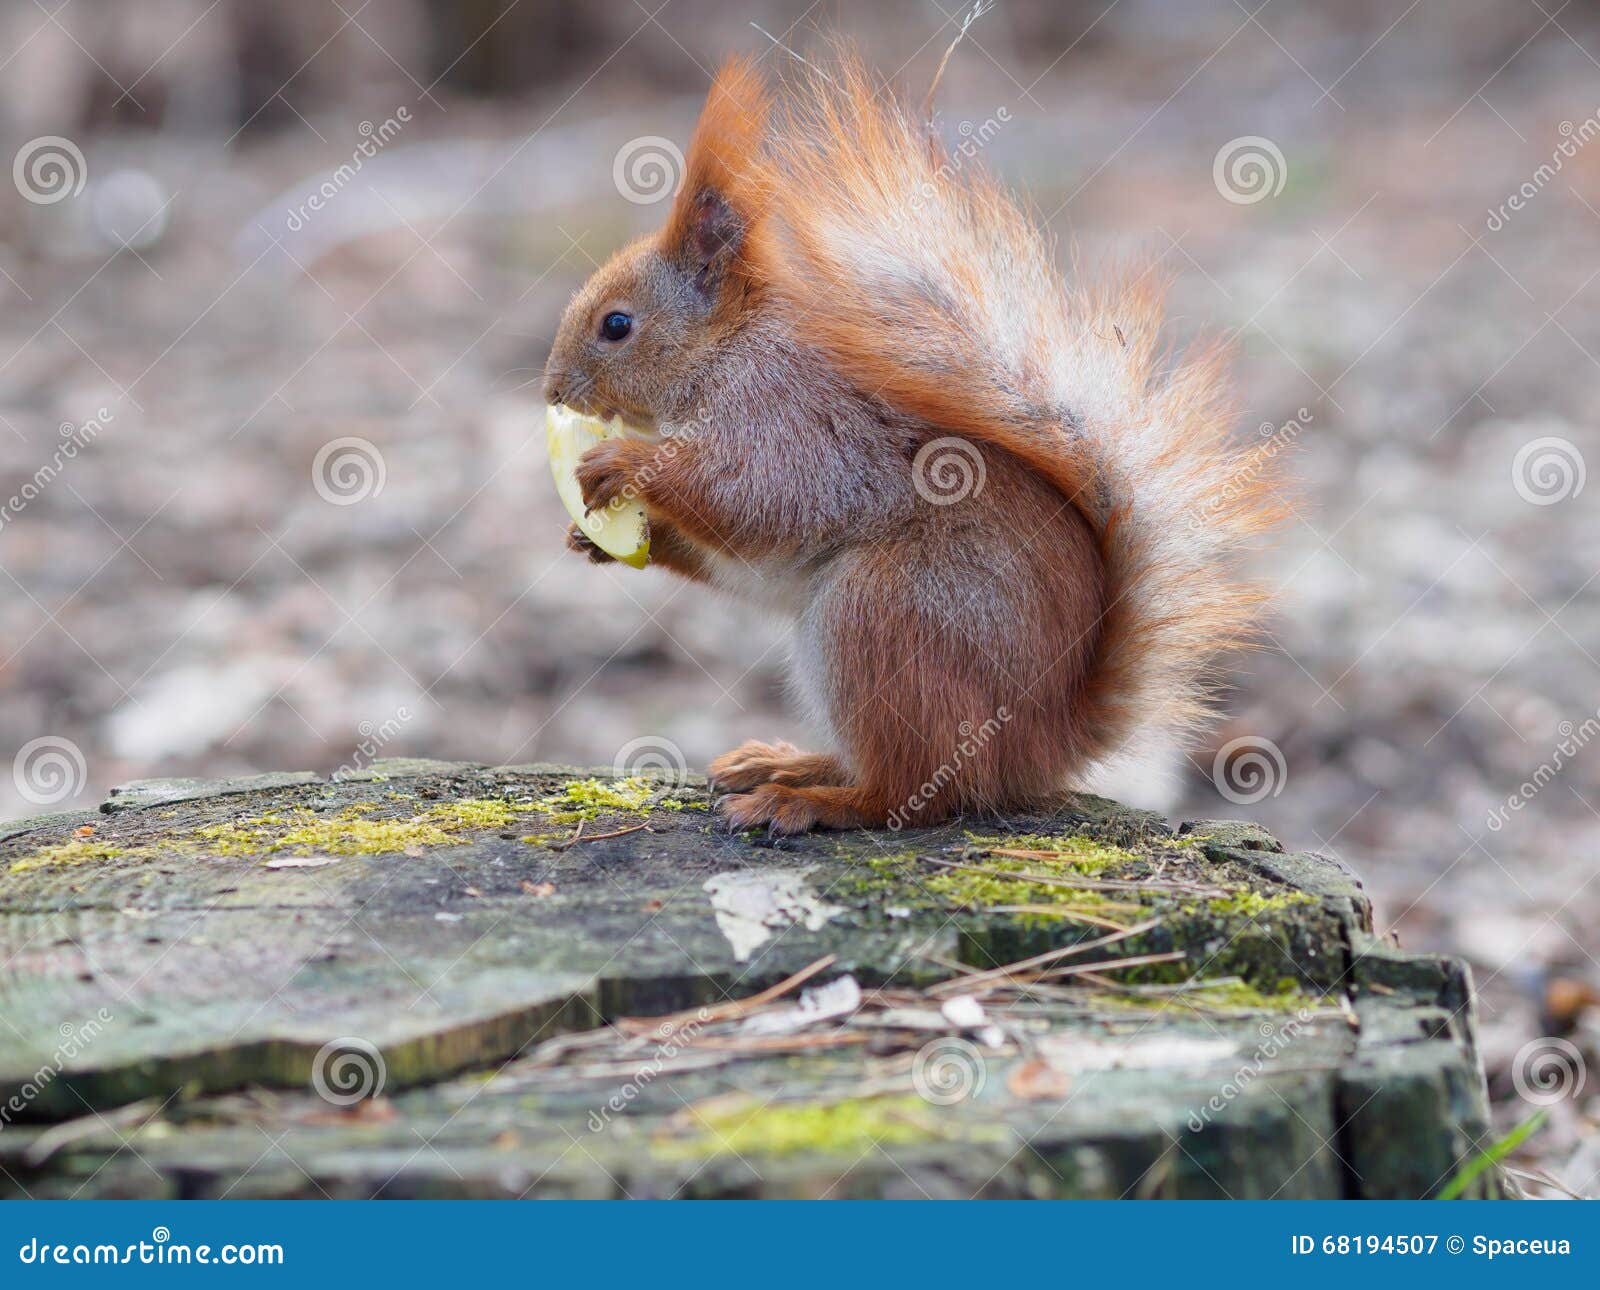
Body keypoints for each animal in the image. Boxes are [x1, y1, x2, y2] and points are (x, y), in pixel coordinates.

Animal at [542, 54, 1285, 834]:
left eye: (616, 324)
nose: (554, 391)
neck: (726, 352)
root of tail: (1044, 745)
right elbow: (743, 562)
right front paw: (595, 539)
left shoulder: (790, 417)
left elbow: (762, 502)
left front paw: (623, 465)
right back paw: (789, 762)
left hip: (882, 615)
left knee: (909, 789)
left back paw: (807, 800)